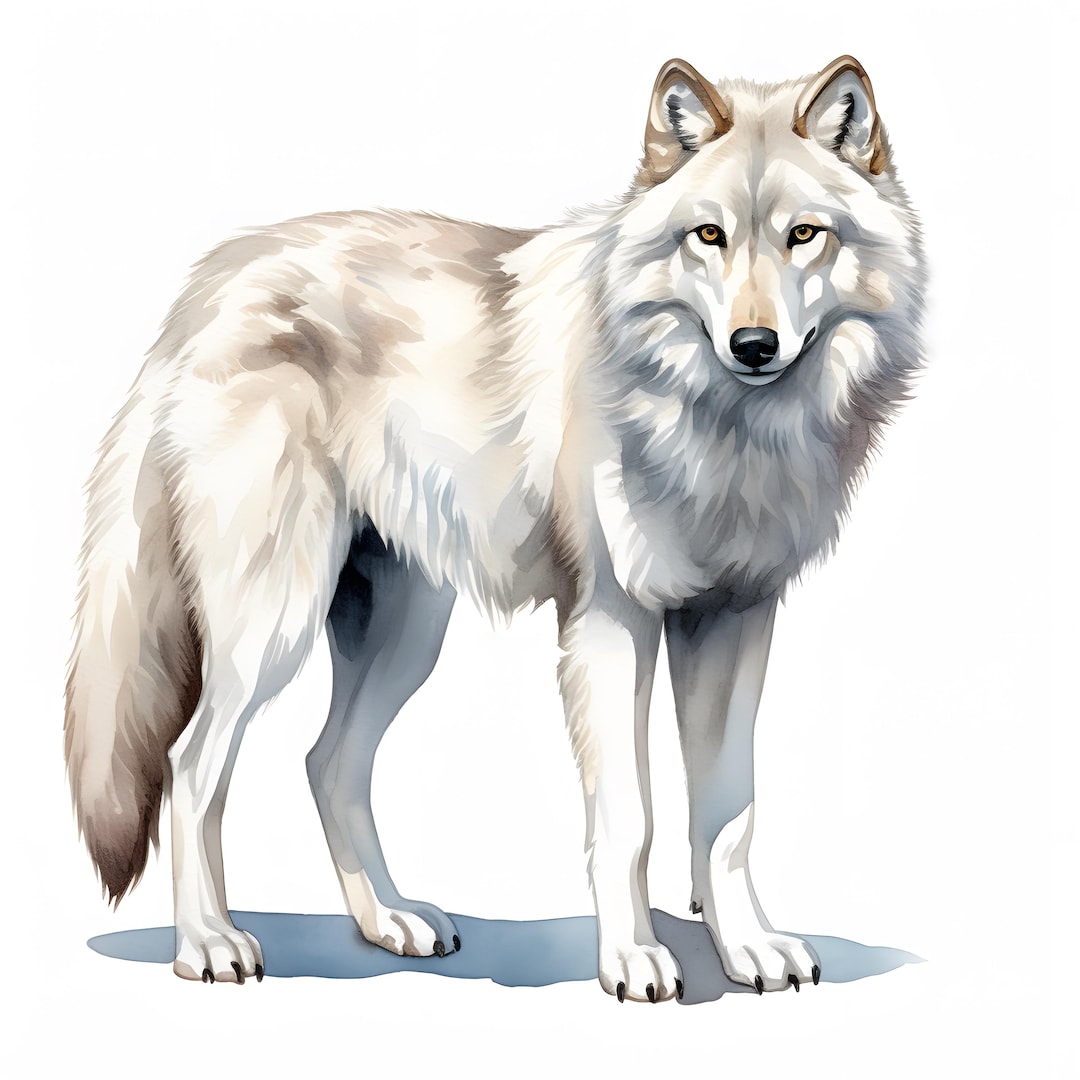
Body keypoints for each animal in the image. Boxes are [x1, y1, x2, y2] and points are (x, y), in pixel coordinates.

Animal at [66, 55, 923, 1002]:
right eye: (709, 236)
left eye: (805, 235)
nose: (754, 344)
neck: (721, 422)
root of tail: (210, 281)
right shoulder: (611, 623)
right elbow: (629, 819)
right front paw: (633, 960)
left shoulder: (736, 621)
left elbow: (728, 816)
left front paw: (748, 947)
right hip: (273, 626)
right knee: (191, 767)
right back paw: (209, 943)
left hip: (404, 634)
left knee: (328, 763)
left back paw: (389, 921)